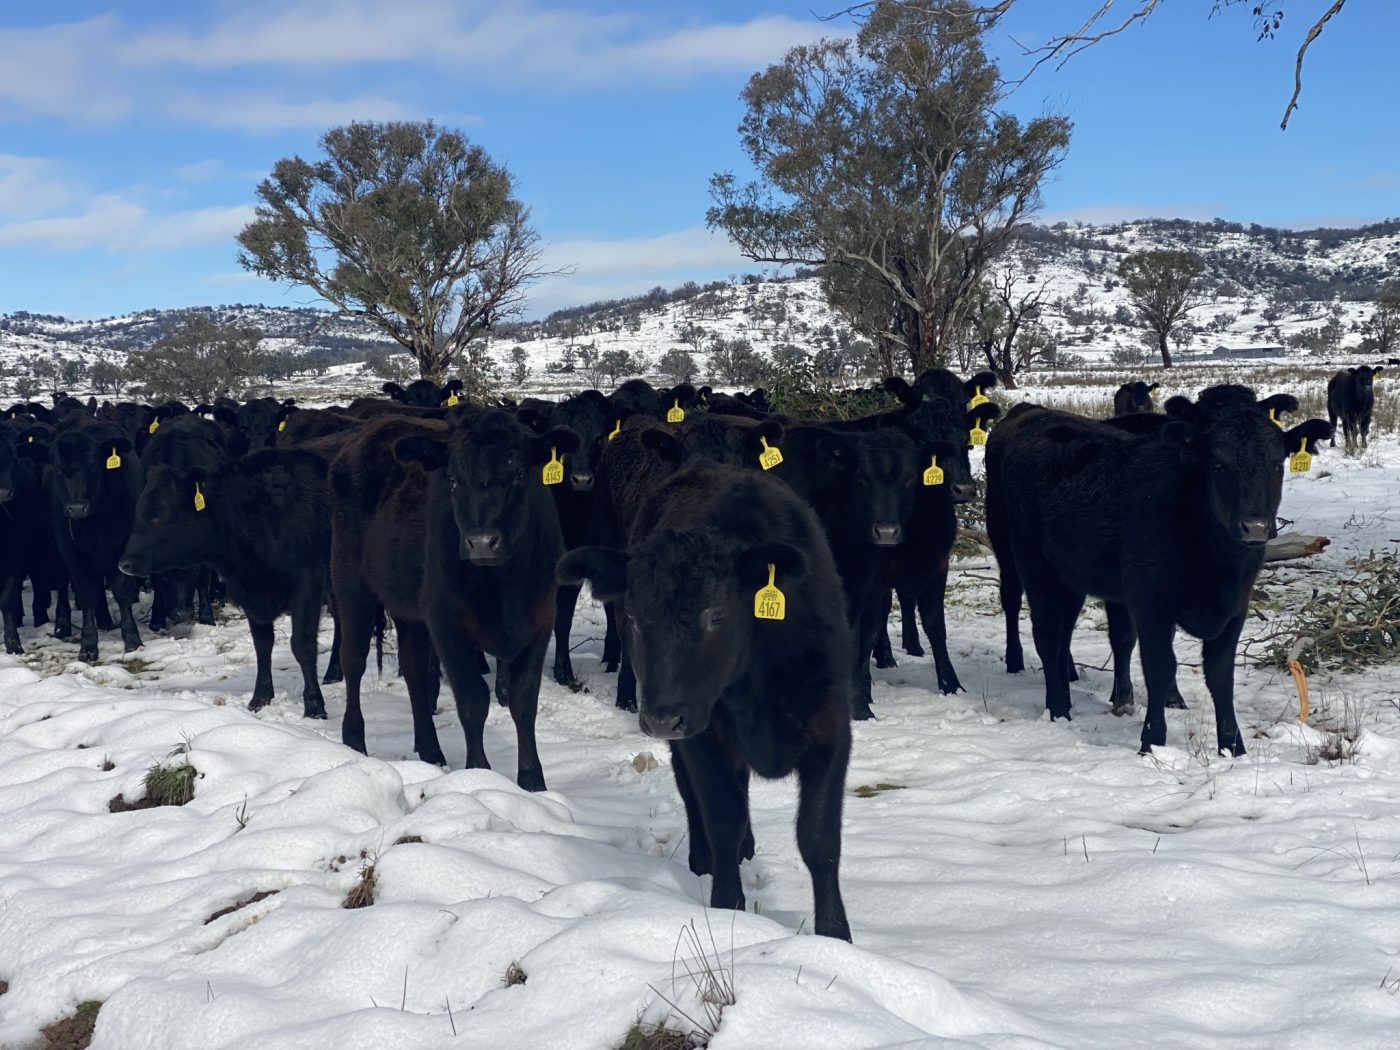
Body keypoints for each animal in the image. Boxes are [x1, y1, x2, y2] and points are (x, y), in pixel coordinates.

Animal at [120, 444, 341, 718]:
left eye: (159, 514)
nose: (124, 564)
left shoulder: (307, 586)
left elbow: (302, 645)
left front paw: (314, 706)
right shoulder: (250, 594)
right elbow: (262, 645)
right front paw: (260, 698)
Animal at [331, 409, 576, 789]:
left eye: (520, 474)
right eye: (452, 479)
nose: (482, 541)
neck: (504, 589)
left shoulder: (540, 618)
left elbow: (523, 700)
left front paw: (533, 781)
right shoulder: (446, 620)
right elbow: (473, 699)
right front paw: (479, 773)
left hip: (411, 608)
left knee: (414, 667)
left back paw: (430, 749)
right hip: (351, 583)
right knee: (353, 659)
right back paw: (355, 740)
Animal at [560, 458, 854, 941]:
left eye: (716, 614)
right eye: (633, 616)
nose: (661, 718)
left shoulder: (830, 729)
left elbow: (818, 836)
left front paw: (835, 935)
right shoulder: (704, 735)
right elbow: (723, 819)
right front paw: (729, 909)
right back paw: (702, 861)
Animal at [985, 385, 1331, 755]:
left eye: (1277, 465)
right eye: (1219, 465)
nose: (1255, 526)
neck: (1215, 564)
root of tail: (1033, 413)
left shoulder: (1236, 607)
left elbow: (1220, 674)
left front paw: (1233, 747)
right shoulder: (1149, 602)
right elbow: (1158, 665)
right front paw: (1152, 741)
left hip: (1071, 575)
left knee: (1064, 630)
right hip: (1028, 560)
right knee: (1043, 630)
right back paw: (1057, 706)